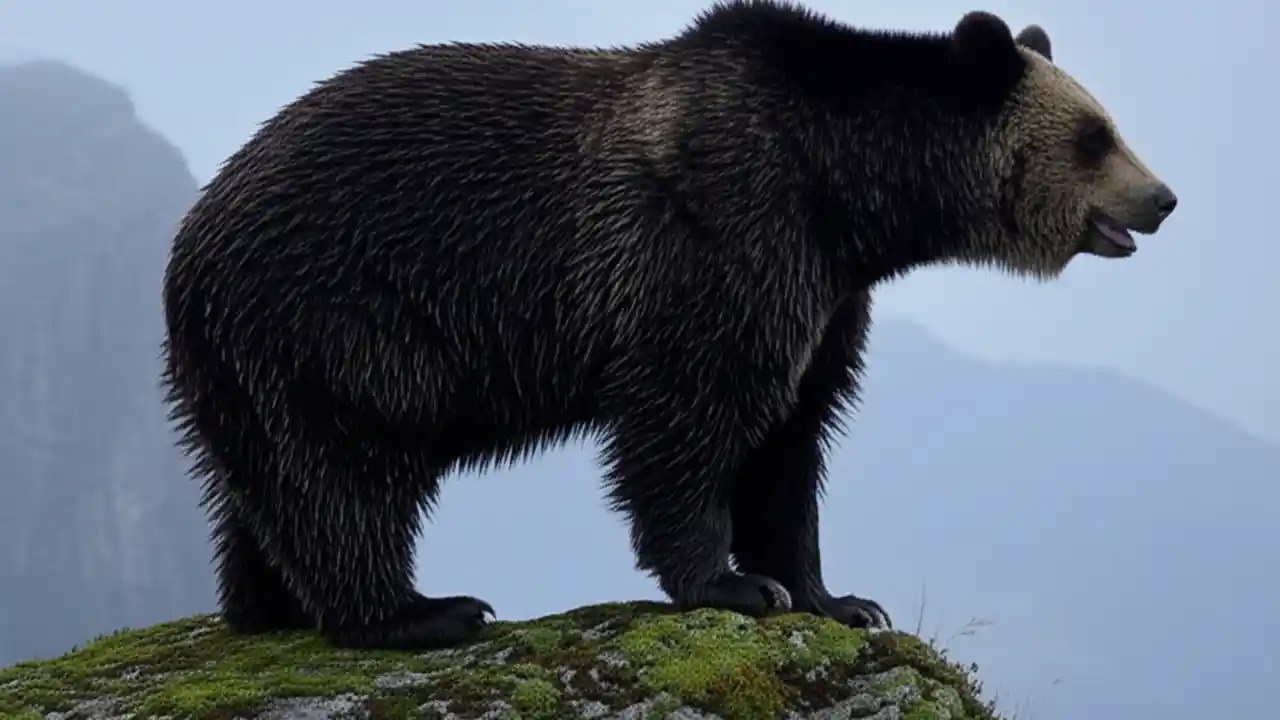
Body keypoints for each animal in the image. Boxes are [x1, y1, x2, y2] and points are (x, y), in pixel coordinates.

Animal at [160, 0, 1177, 650]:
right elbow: (691, 414)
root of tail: (189, 240)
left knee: (270, 478)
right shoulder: (723, 235)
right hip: (339, 313)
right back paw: (420, 611)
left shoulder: (826, 293)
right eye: (1094, 136)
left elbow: (792, 439)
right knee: (350, 470)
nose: (1163, 198)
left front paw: (839, 597)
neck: (842, 190)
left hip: (252, 355)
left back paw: (264, 604)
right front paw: (734, 583)